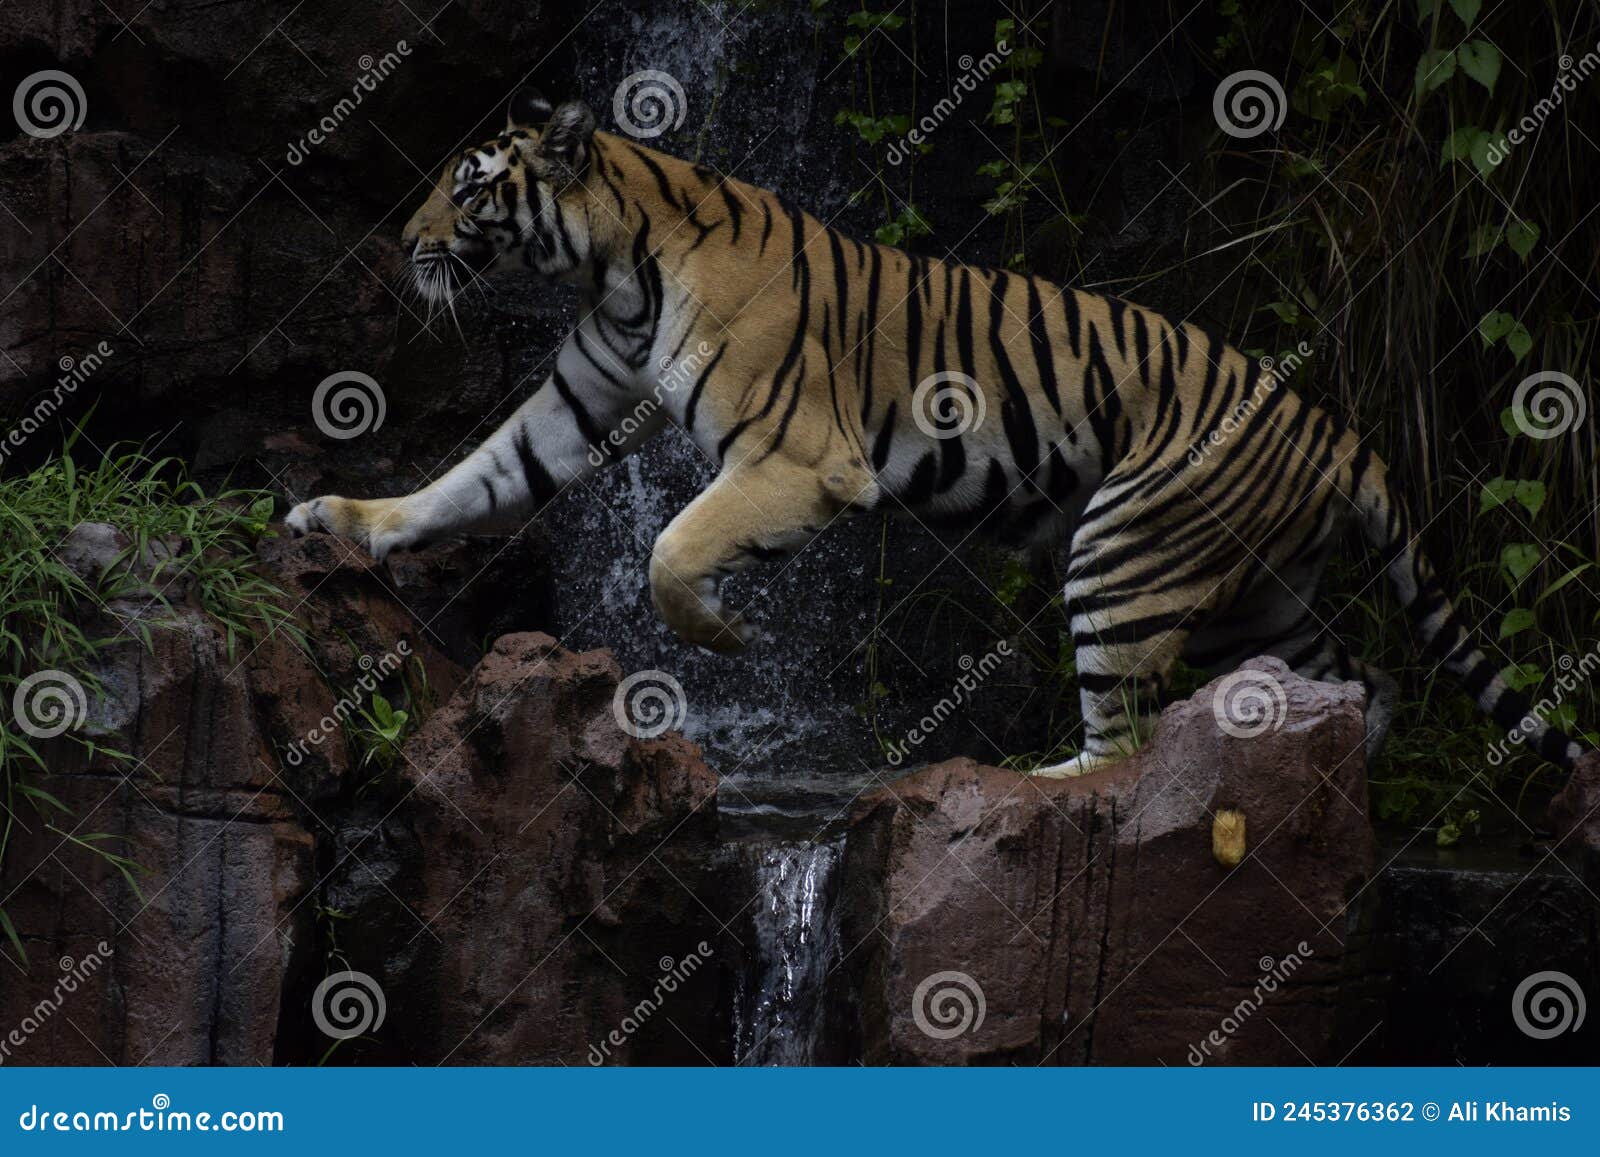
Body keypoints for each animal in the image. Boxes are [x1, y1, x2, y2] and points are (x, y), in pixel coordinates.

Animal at [285, 87, 1585, 778]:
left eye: (468, 188)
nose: (407, 241)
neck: (614, 272)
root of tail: (1331, 428)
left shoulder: (801, 457)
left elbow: (668, 549)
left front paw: (728, 641)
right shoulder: (573, 403)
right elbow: (471, 480)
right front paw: (340, 516)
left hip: (1124, 549)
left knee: (1122, 740)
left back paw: (1046, 782)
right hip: (1255, 596)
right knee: (1356, 679)